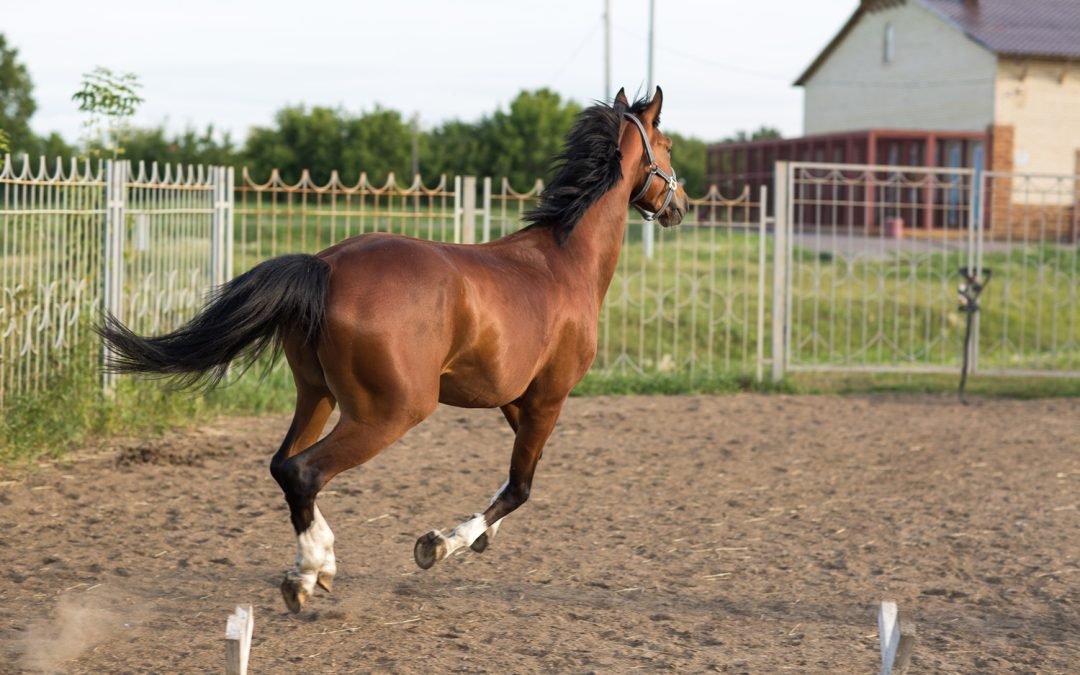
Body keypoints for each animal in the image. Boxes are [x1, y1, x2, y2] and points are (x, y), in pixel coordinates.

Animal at [99, 86, 689, 613]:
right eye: (667, 146)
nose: (680, 204)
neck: (563, 263)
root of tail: (326, 266)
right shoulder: (549, 397)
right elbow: (521, 486)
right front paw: (439, 544)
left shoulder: (513, 398)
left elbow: (514, 479)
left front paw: (481, 536)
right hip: (391, 412)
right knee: (303, 472)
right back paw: (311, 572)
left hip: (316, 396)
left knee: (282, 465)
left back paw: (317, 568)